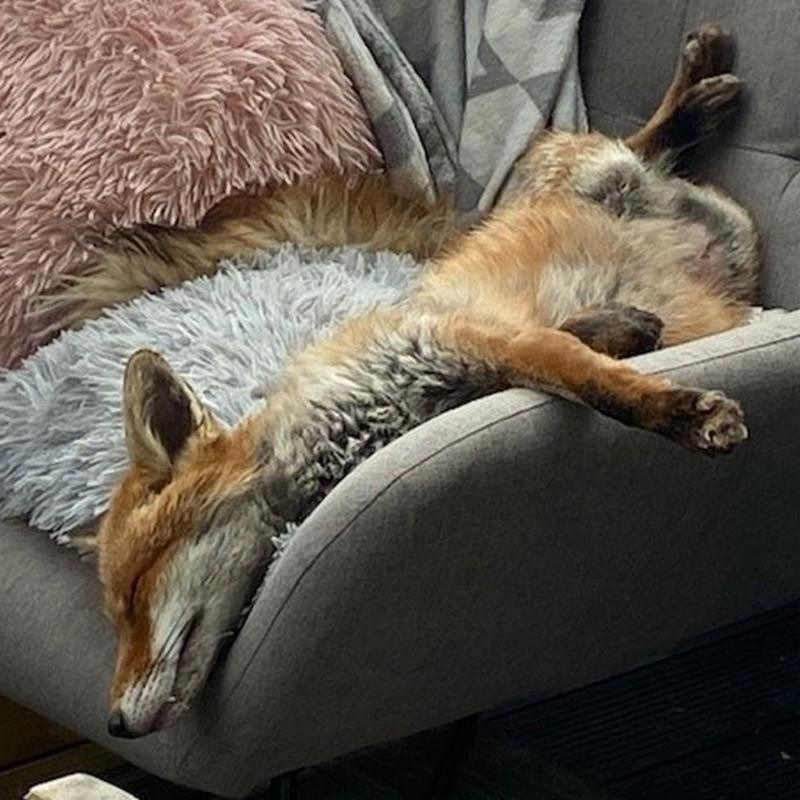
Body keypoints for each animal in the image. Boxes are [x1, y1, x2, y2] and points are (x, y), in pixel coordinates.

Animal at [97, 24, 756, 738]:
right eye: (117, 616)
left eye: (133, 595)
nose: (113, 724)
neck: (362, 424)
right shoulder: (493, 349)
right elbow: (592, 343)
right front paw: (630, 329)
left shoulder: (479, 341)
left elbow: (600, 386)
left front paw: (686, 413)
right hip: (722, 226)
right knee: (644, 150)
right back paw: (701, 98)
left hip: (587, 178)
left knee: (629, 142)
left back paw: (698, 84)